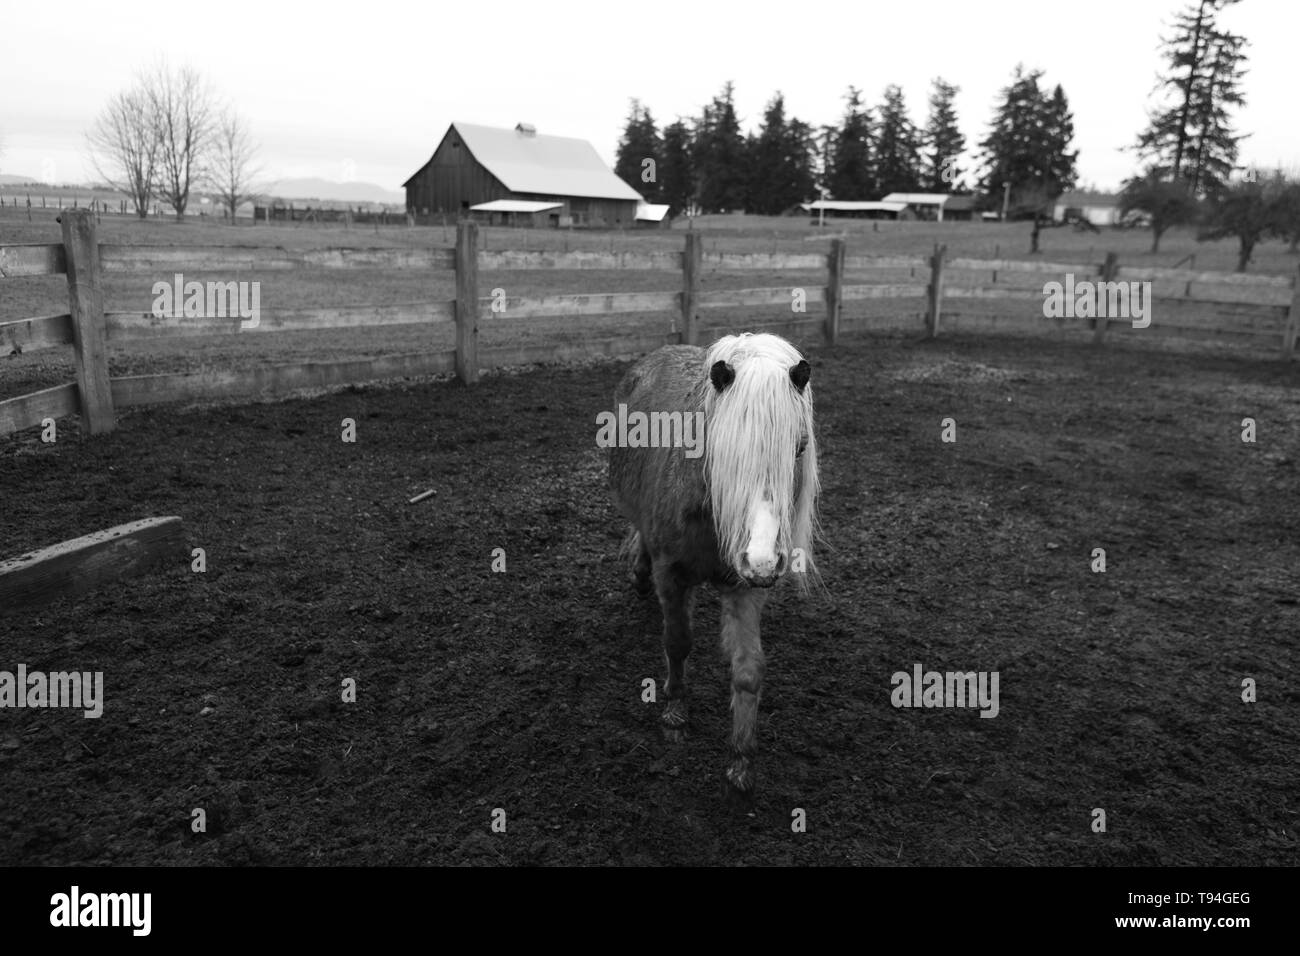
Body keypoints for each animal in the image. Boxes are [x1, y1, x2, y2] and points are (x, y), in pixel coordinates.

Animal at [607, 332, 820, 803]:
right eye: (727, 445)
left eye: (798, 447)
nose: (763, 560)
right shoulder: (672, 574)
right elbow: (678, 642)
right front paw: (675, 713)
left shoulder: (746, 586)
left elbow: (748, 670)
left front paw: (741, 761)